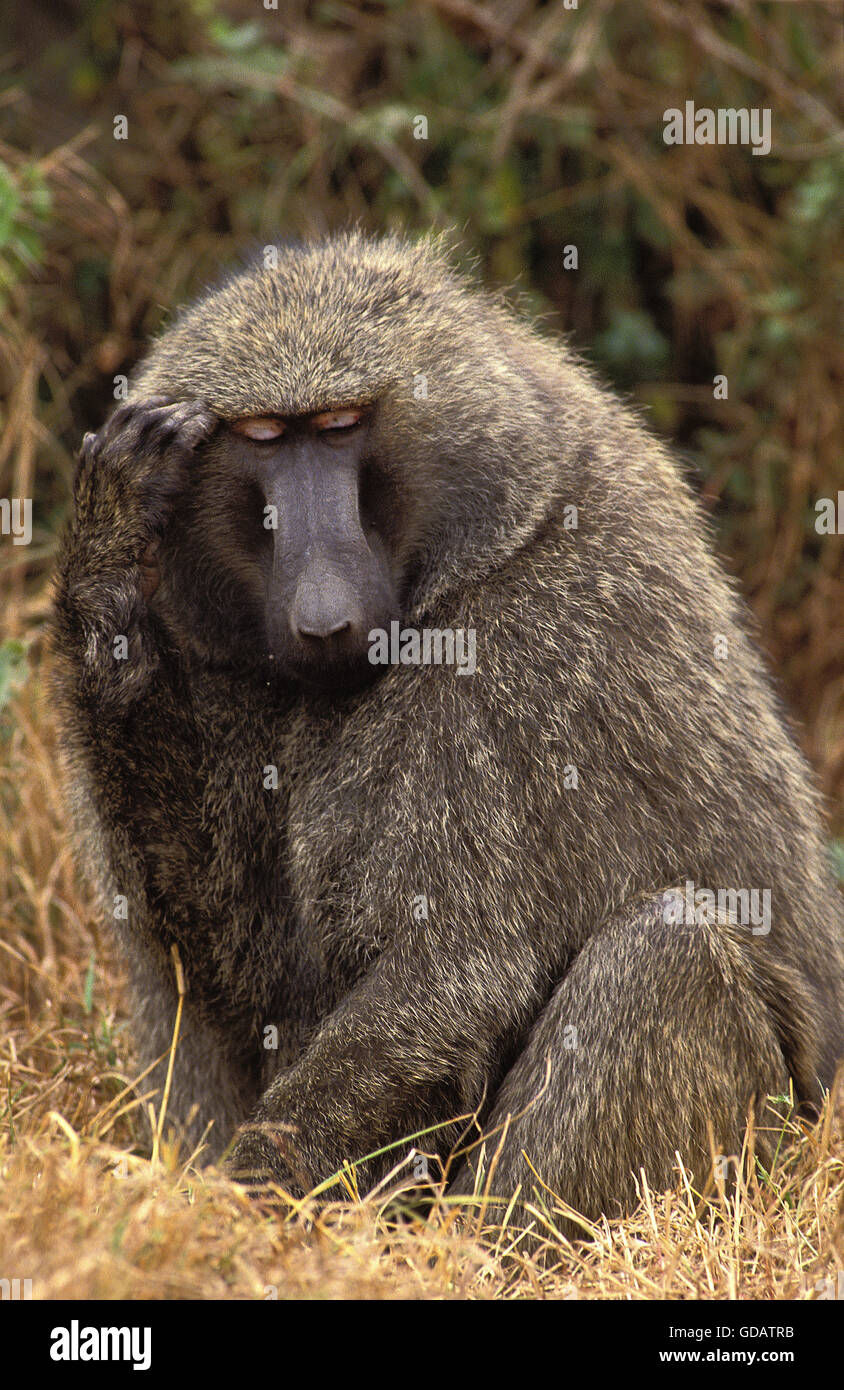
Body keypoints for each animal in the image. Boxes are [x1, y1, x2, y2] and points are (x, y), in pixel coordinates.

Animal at [50, 229, 844, 1235]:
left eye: (342, 423)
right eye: (265, 437)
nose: (324, 614)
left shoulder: (522, 655)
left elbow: (453, 976)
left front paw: (233, 1218)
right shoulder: (216, 657)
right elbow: (234, 961)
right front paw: (109, 549)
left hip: (769, 1143)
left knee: (669, 950)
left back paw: (484, 1245)